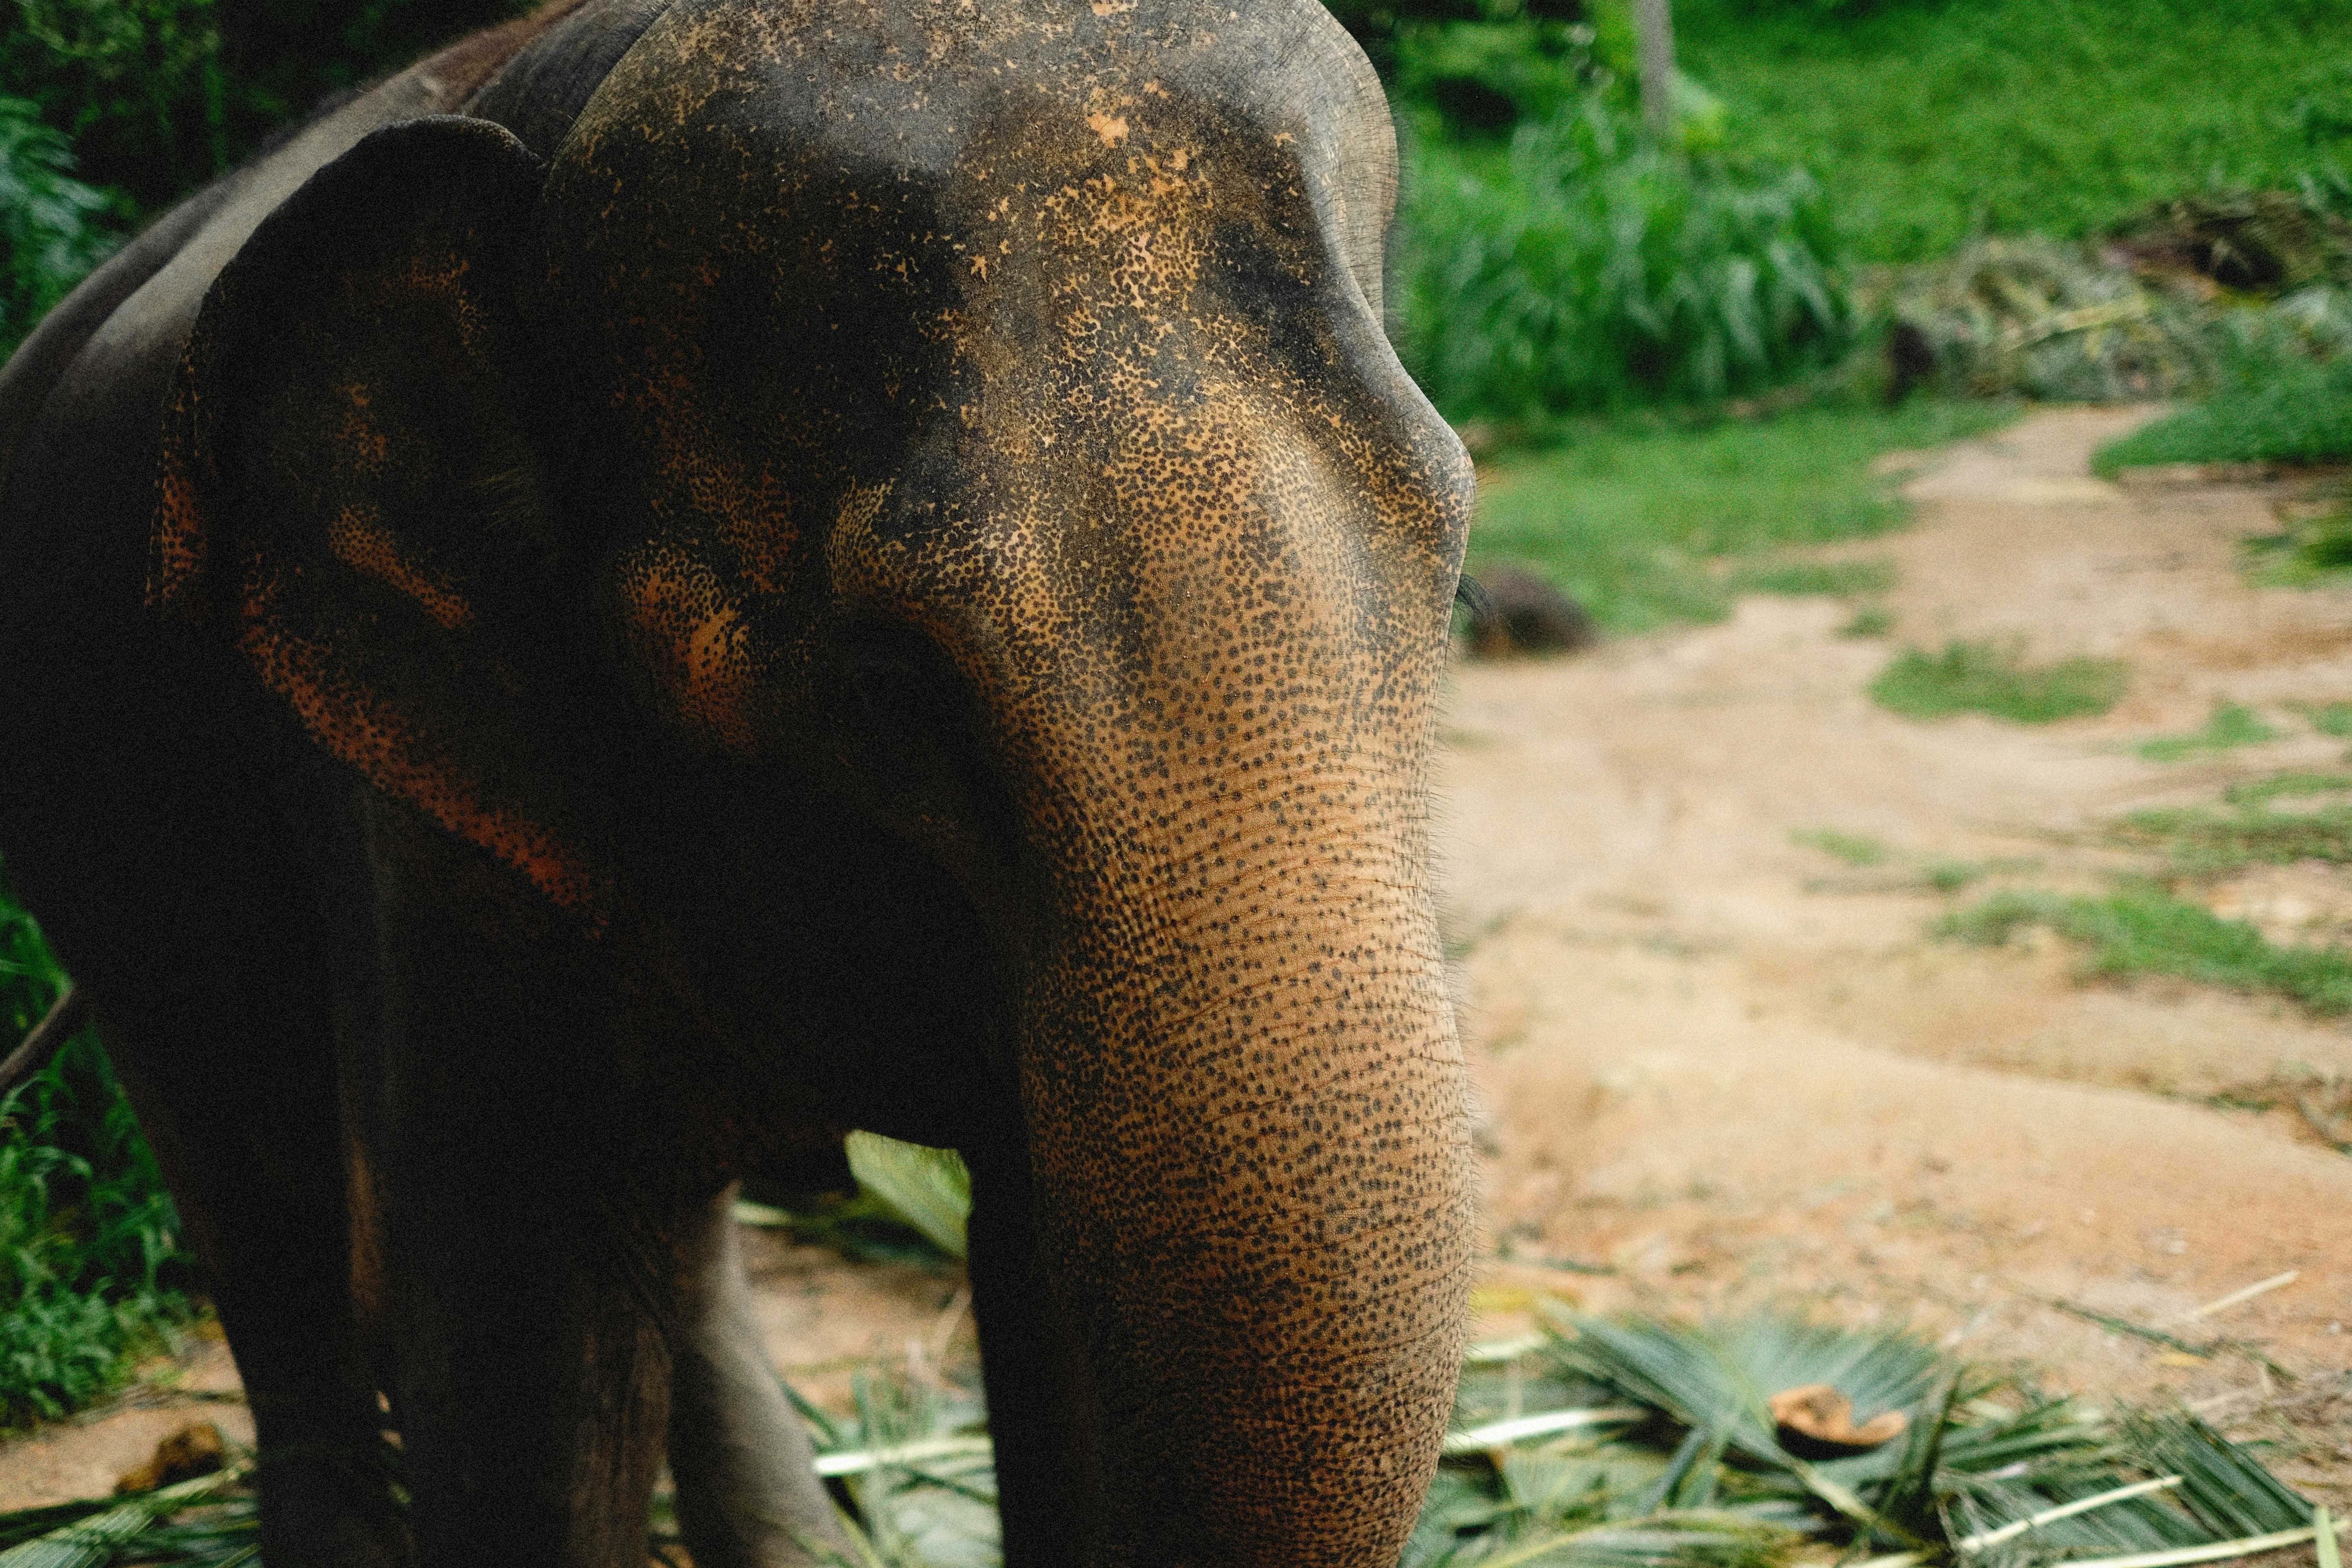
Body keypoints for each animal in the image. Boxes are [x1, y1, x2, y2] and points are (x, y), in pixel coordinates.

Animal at [0, 0, 1477, 1563]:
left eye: (1450, 566)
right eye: (891, 680)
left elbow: (1046, 1293)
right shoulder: (425, 829)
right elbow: (515, 1360)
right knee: (252, 1188)